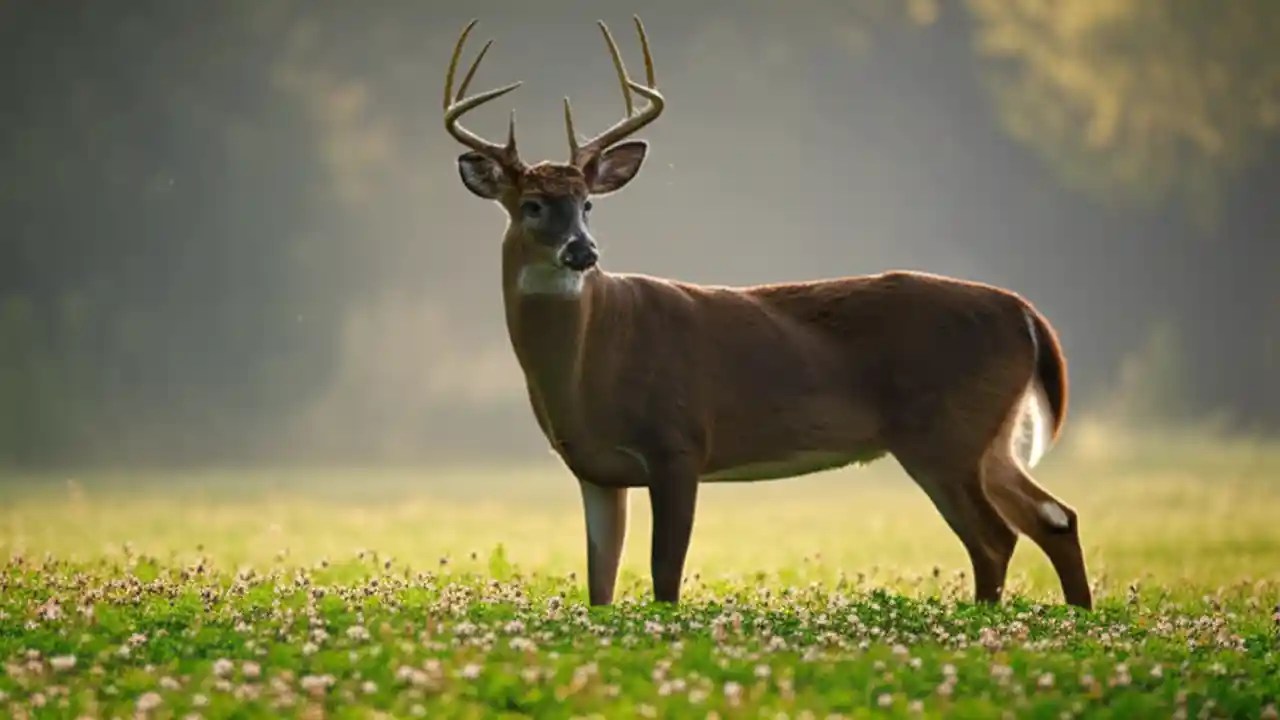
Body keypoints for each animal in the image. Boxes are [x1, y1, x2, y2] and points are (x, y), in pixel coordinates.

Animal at [441, 16, 1093, 611]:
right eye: (532, 204)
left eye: (588, 204)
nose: (584, 251)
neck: (587, 368)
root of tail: (1025, 314)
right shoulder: (596, 469)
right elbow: (600, 585)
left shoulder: (679, 440)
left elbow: (664, 576)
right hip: (990, 436)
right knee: (1056, 517)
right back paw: (1076, 616)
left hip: (944, 432)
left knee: (995, 538)